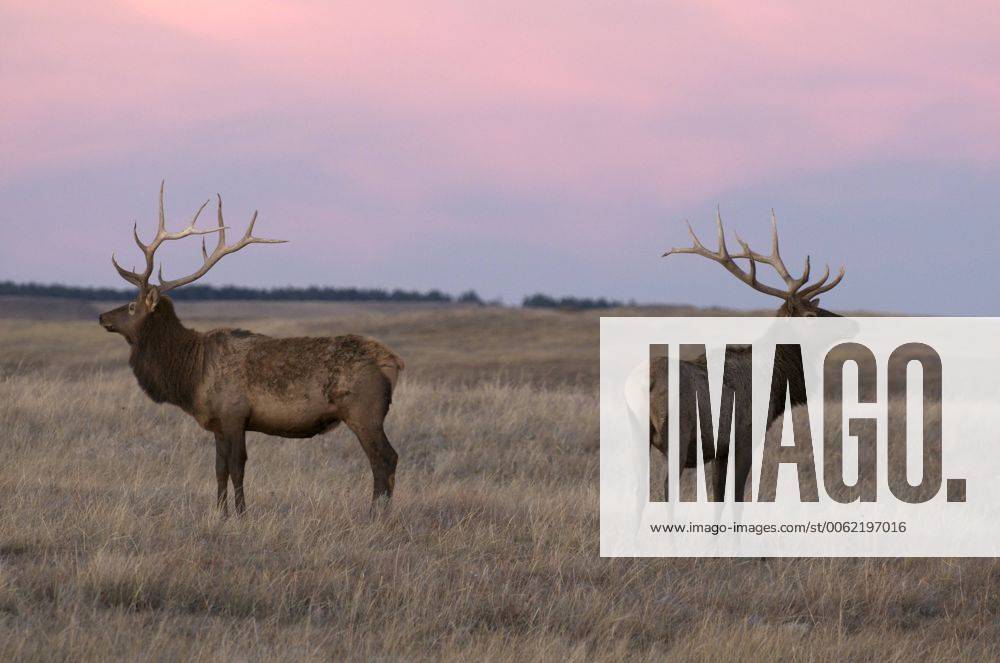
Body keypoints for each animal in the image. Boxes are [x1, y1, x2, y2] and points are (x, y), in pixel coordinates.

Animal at [99, 183, 404, 518]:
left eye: (131, 306)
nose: (101, 316)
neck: (192, 374)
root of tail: (393, 362)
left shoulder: (234, 413)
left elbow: (237, 466)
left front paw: (242, 514)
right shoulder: (218, 423)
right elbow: (219, 469)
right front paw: (221, 513)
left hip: (364, 410)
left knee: (385, 459)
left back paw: (376, 515)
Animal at [649, 210, 846, 501]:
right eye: (811, 315)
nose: (850, 321)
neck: (776, 383)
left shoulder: (720, 450)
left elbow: (719, 496)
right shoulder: (745, 438)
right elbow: (737, 495)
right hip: (677, 436)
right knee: (664, 489)